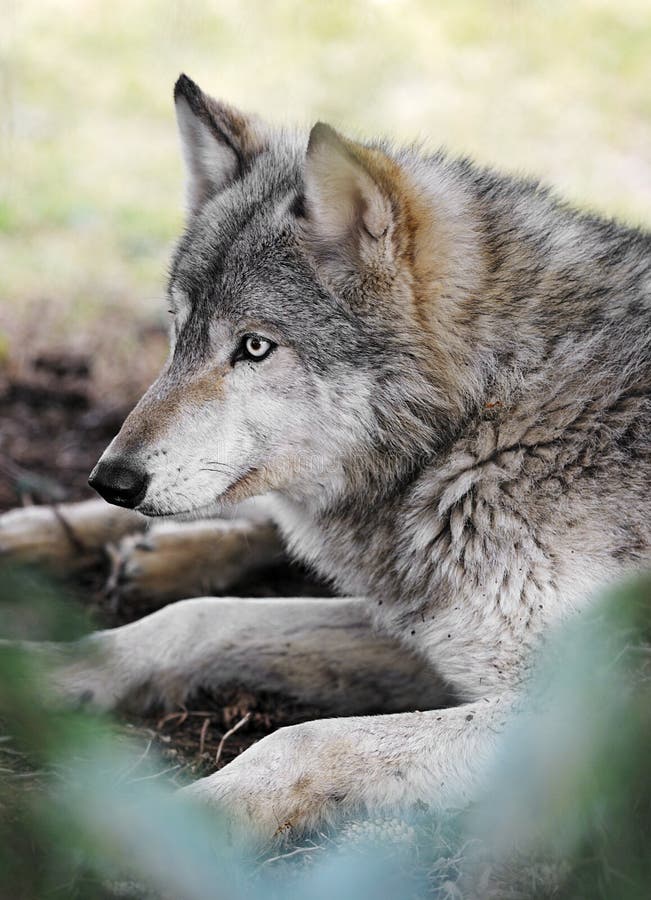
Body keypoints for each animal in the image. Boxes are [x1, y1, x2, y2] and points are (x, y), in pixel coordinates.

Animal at [2, 73, 650, 843]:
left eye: (254, 346)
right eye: (177, 328)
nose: (112, 479)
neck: (476, 427)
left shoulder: (587, 707)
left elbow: (306, 738)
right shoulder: (422, 632)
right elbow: (198, 620)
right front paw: (46, 673)